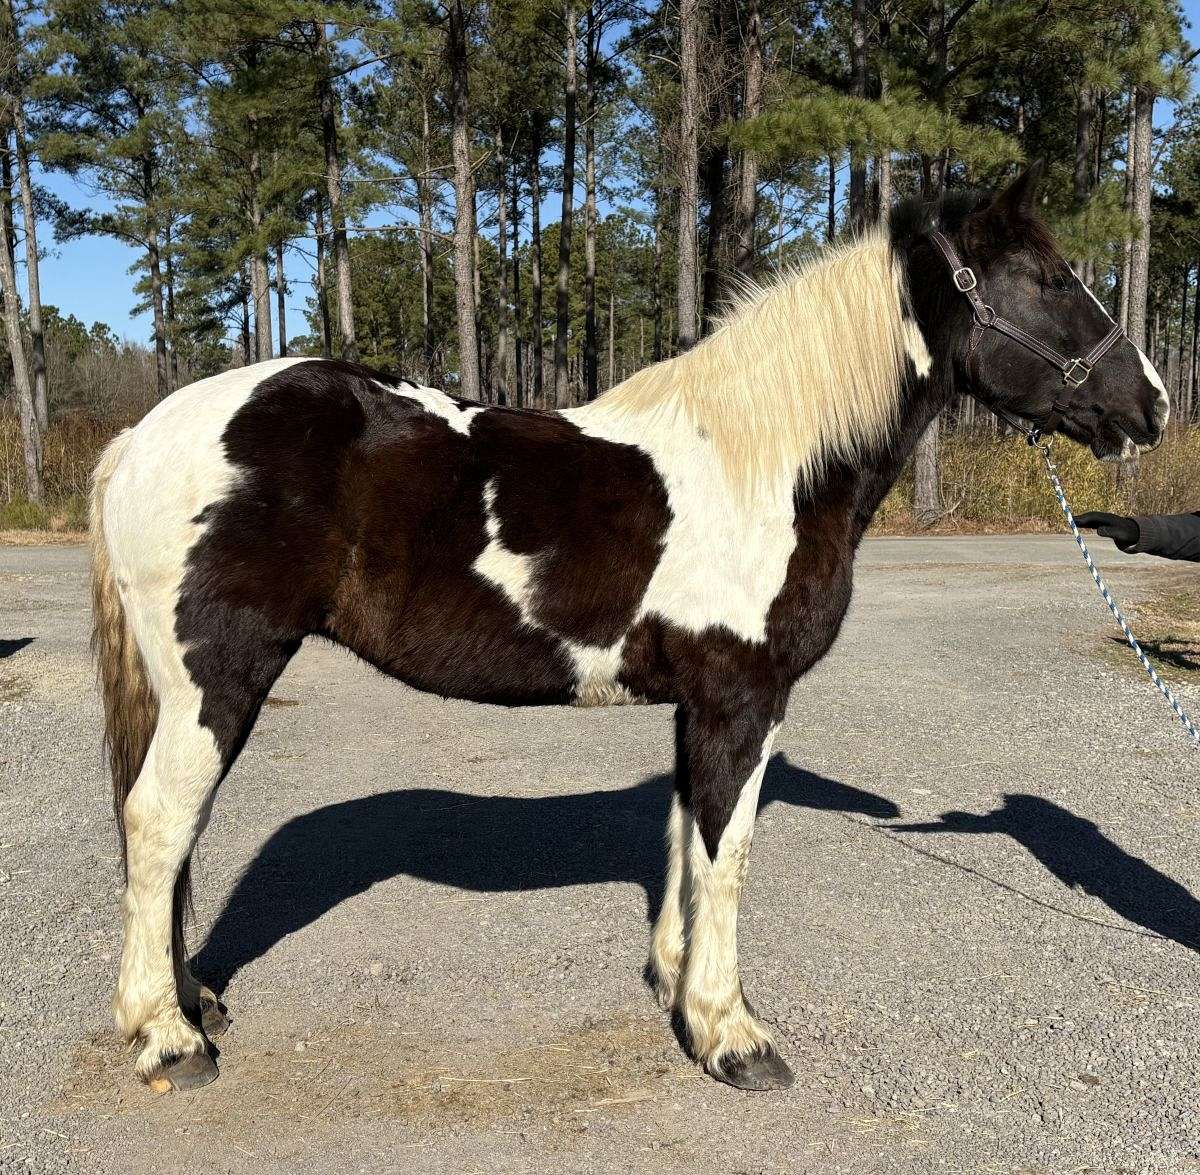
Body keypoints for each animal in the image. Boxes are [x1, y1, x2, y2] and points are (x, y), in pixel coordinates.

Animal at [89, 162, 1169, 1095]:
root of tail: (145, 434)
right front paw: (734, 1035)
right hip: (218, 677)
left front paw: (680, 993)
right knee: (159, 822)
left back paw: (194, 1001)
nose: (1149, 404)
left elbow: (688, 838)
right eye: (1050, 279)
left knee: (173, 835)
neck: (762, 461)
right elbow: (729, 853)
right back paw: (167, 1035)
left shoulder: (699, 703)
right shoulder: (744, 696)